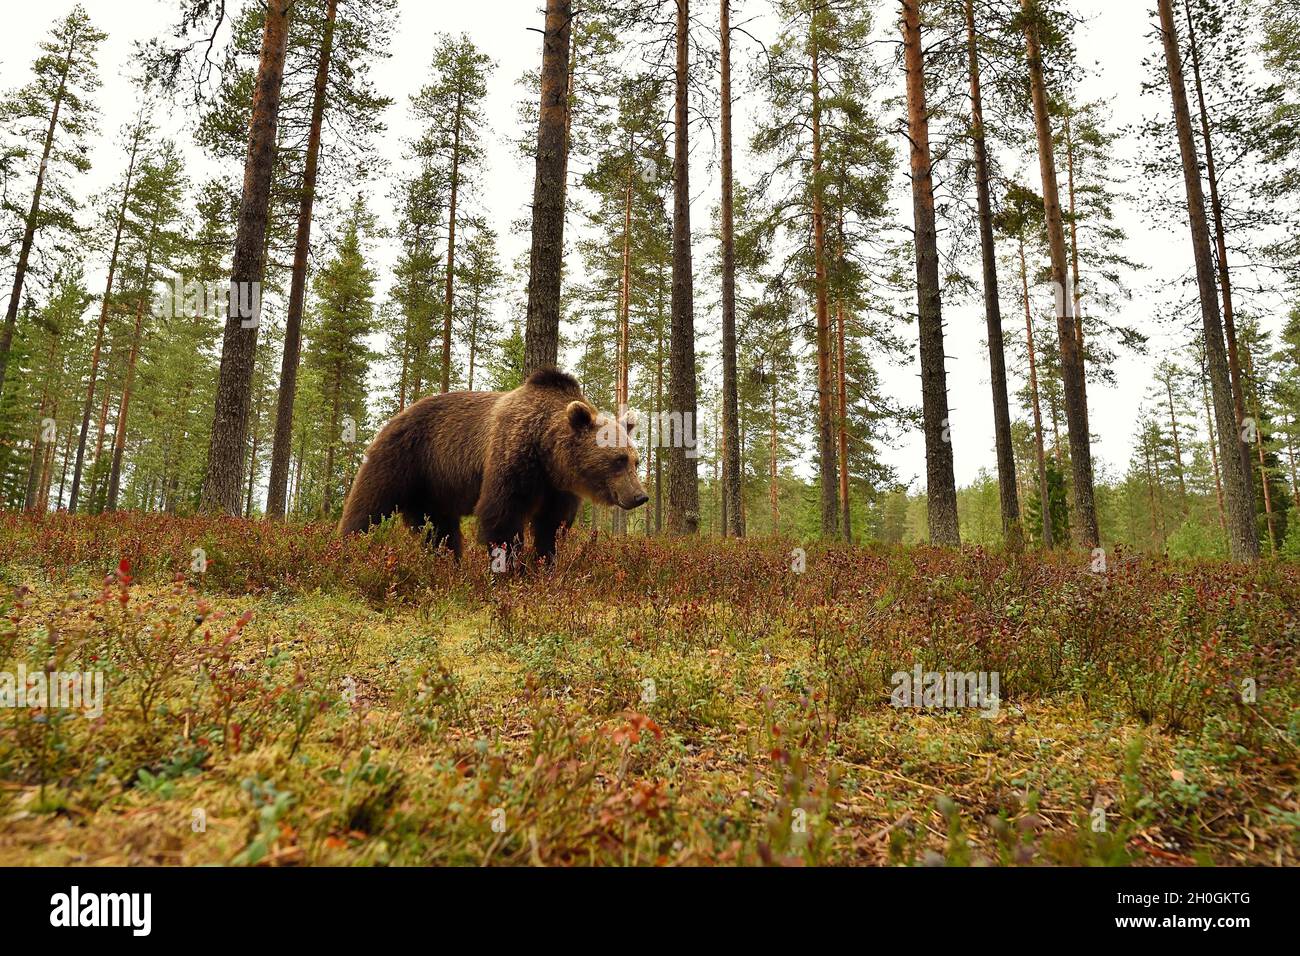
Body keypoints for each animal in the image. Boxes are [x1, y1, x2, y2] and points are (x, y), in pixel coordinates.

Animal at [338, 368, 648, 562]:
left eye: (635, 460)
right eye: (618, 460)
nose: (640, 496)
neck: (548, 455)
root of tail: (398, 415)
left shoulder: (558, 488)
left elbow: (552, 526)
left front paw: (545, 564)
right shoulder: (513, 460)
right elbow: (501, 518)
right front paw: (509, 569)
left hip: (435, 487)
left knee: (439, 530)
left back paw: (447, 562)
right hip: (405, 459)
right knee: (369, 505)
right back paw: (348, 549)